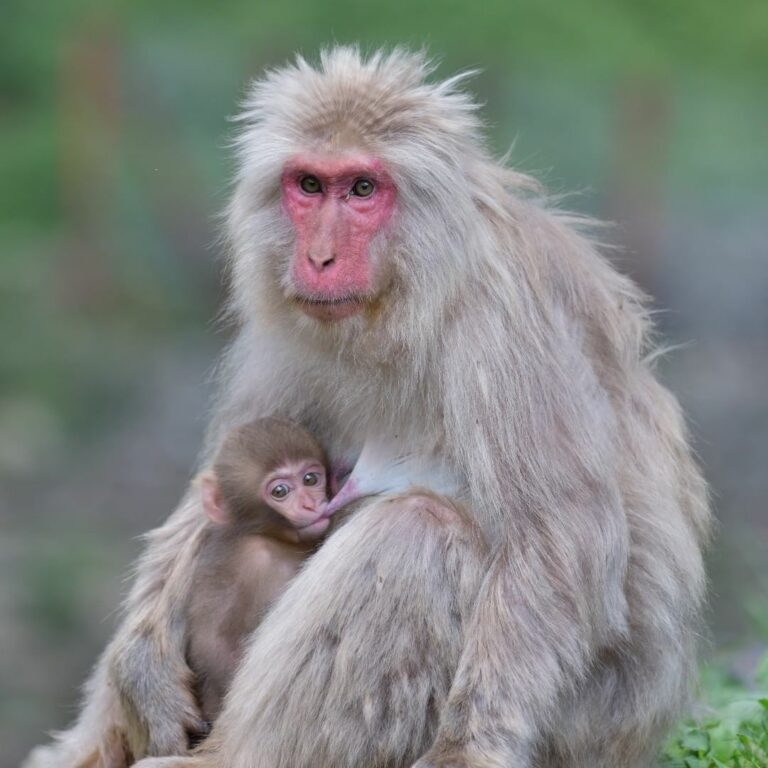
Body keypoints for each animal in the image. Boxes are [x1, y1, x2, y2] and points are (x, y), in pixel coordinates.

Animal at [187, 417, 331, 726]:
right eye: (280, 492)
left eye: (310, 479)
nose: (311, 504)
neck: (270, 536)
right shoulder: (250, 562)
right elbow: (218, 645)